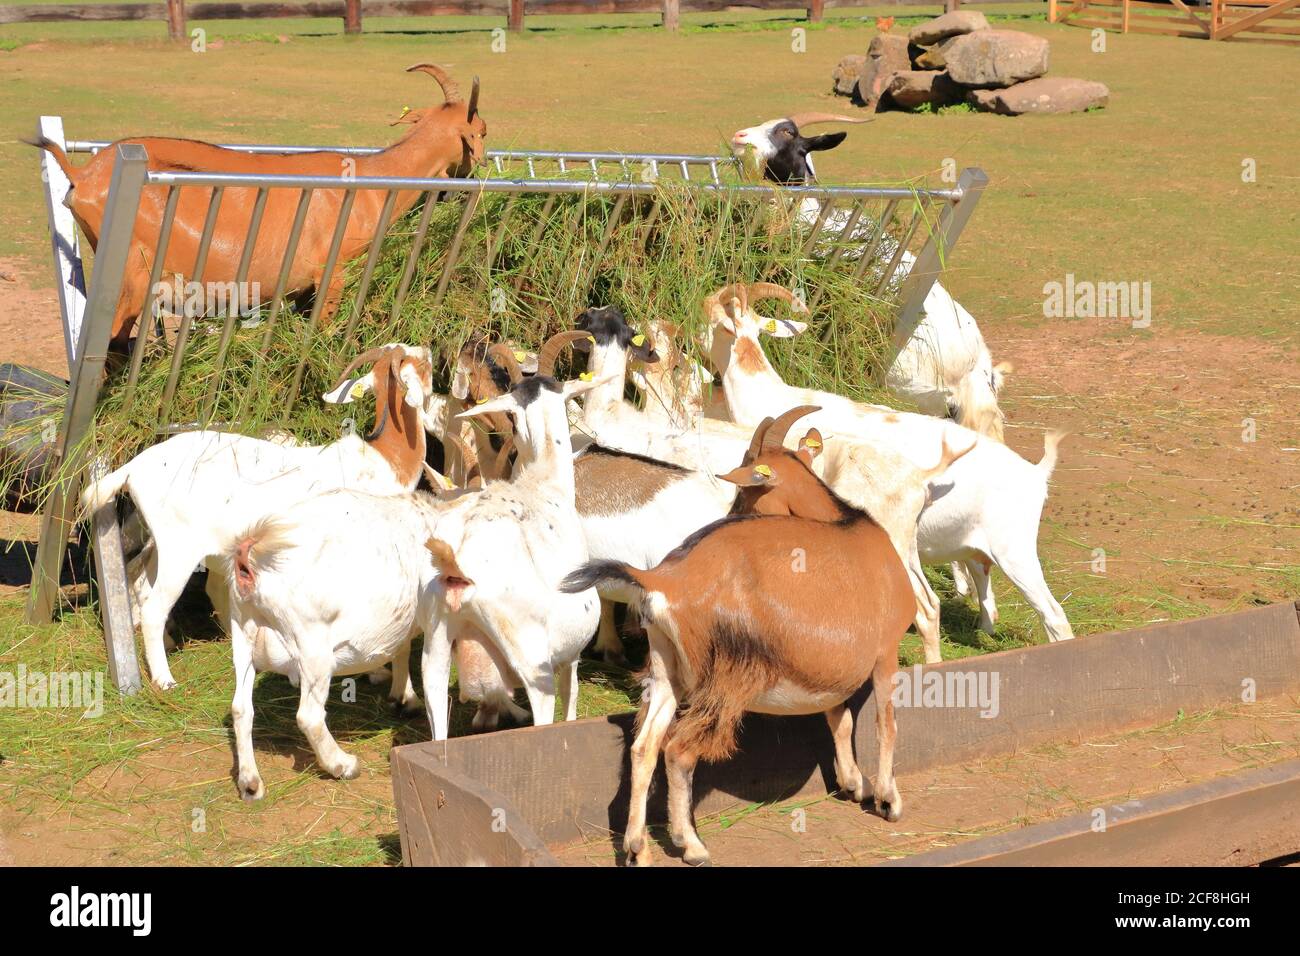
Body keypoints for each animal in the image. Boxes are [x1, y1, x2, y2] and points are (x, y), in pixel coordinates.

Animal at [27, 65, 485, 351]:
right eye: (480, 130)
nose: (471, 174)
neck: (372, 182)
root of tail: (84, 175)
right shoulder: (333, 273)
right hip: (131, 280)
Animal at [81, 344, 435, 690]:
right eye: (419, 363)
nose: (429, 350)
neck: (385, 459)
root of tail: (133, 468)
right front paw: (378, 671)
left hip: (167, 543)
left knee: (142, 585)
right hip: (180, 549)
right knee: (155, 607)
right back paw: (165, 680)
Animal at [561, 406, 915, 866]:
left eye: (747, 489)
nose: (730, 515)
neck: (849, 523)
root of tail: (664, 580)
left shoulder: (826, 665)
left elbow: (839, 717)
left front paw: (854, 783)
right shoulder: (886, 649)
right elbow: (884, 723)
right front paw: (889, 800)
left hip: (667, 670)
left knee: (644, 747)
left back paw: (638, 848)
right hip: (724, 681)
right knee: (678, 750)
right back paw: (691, 844)